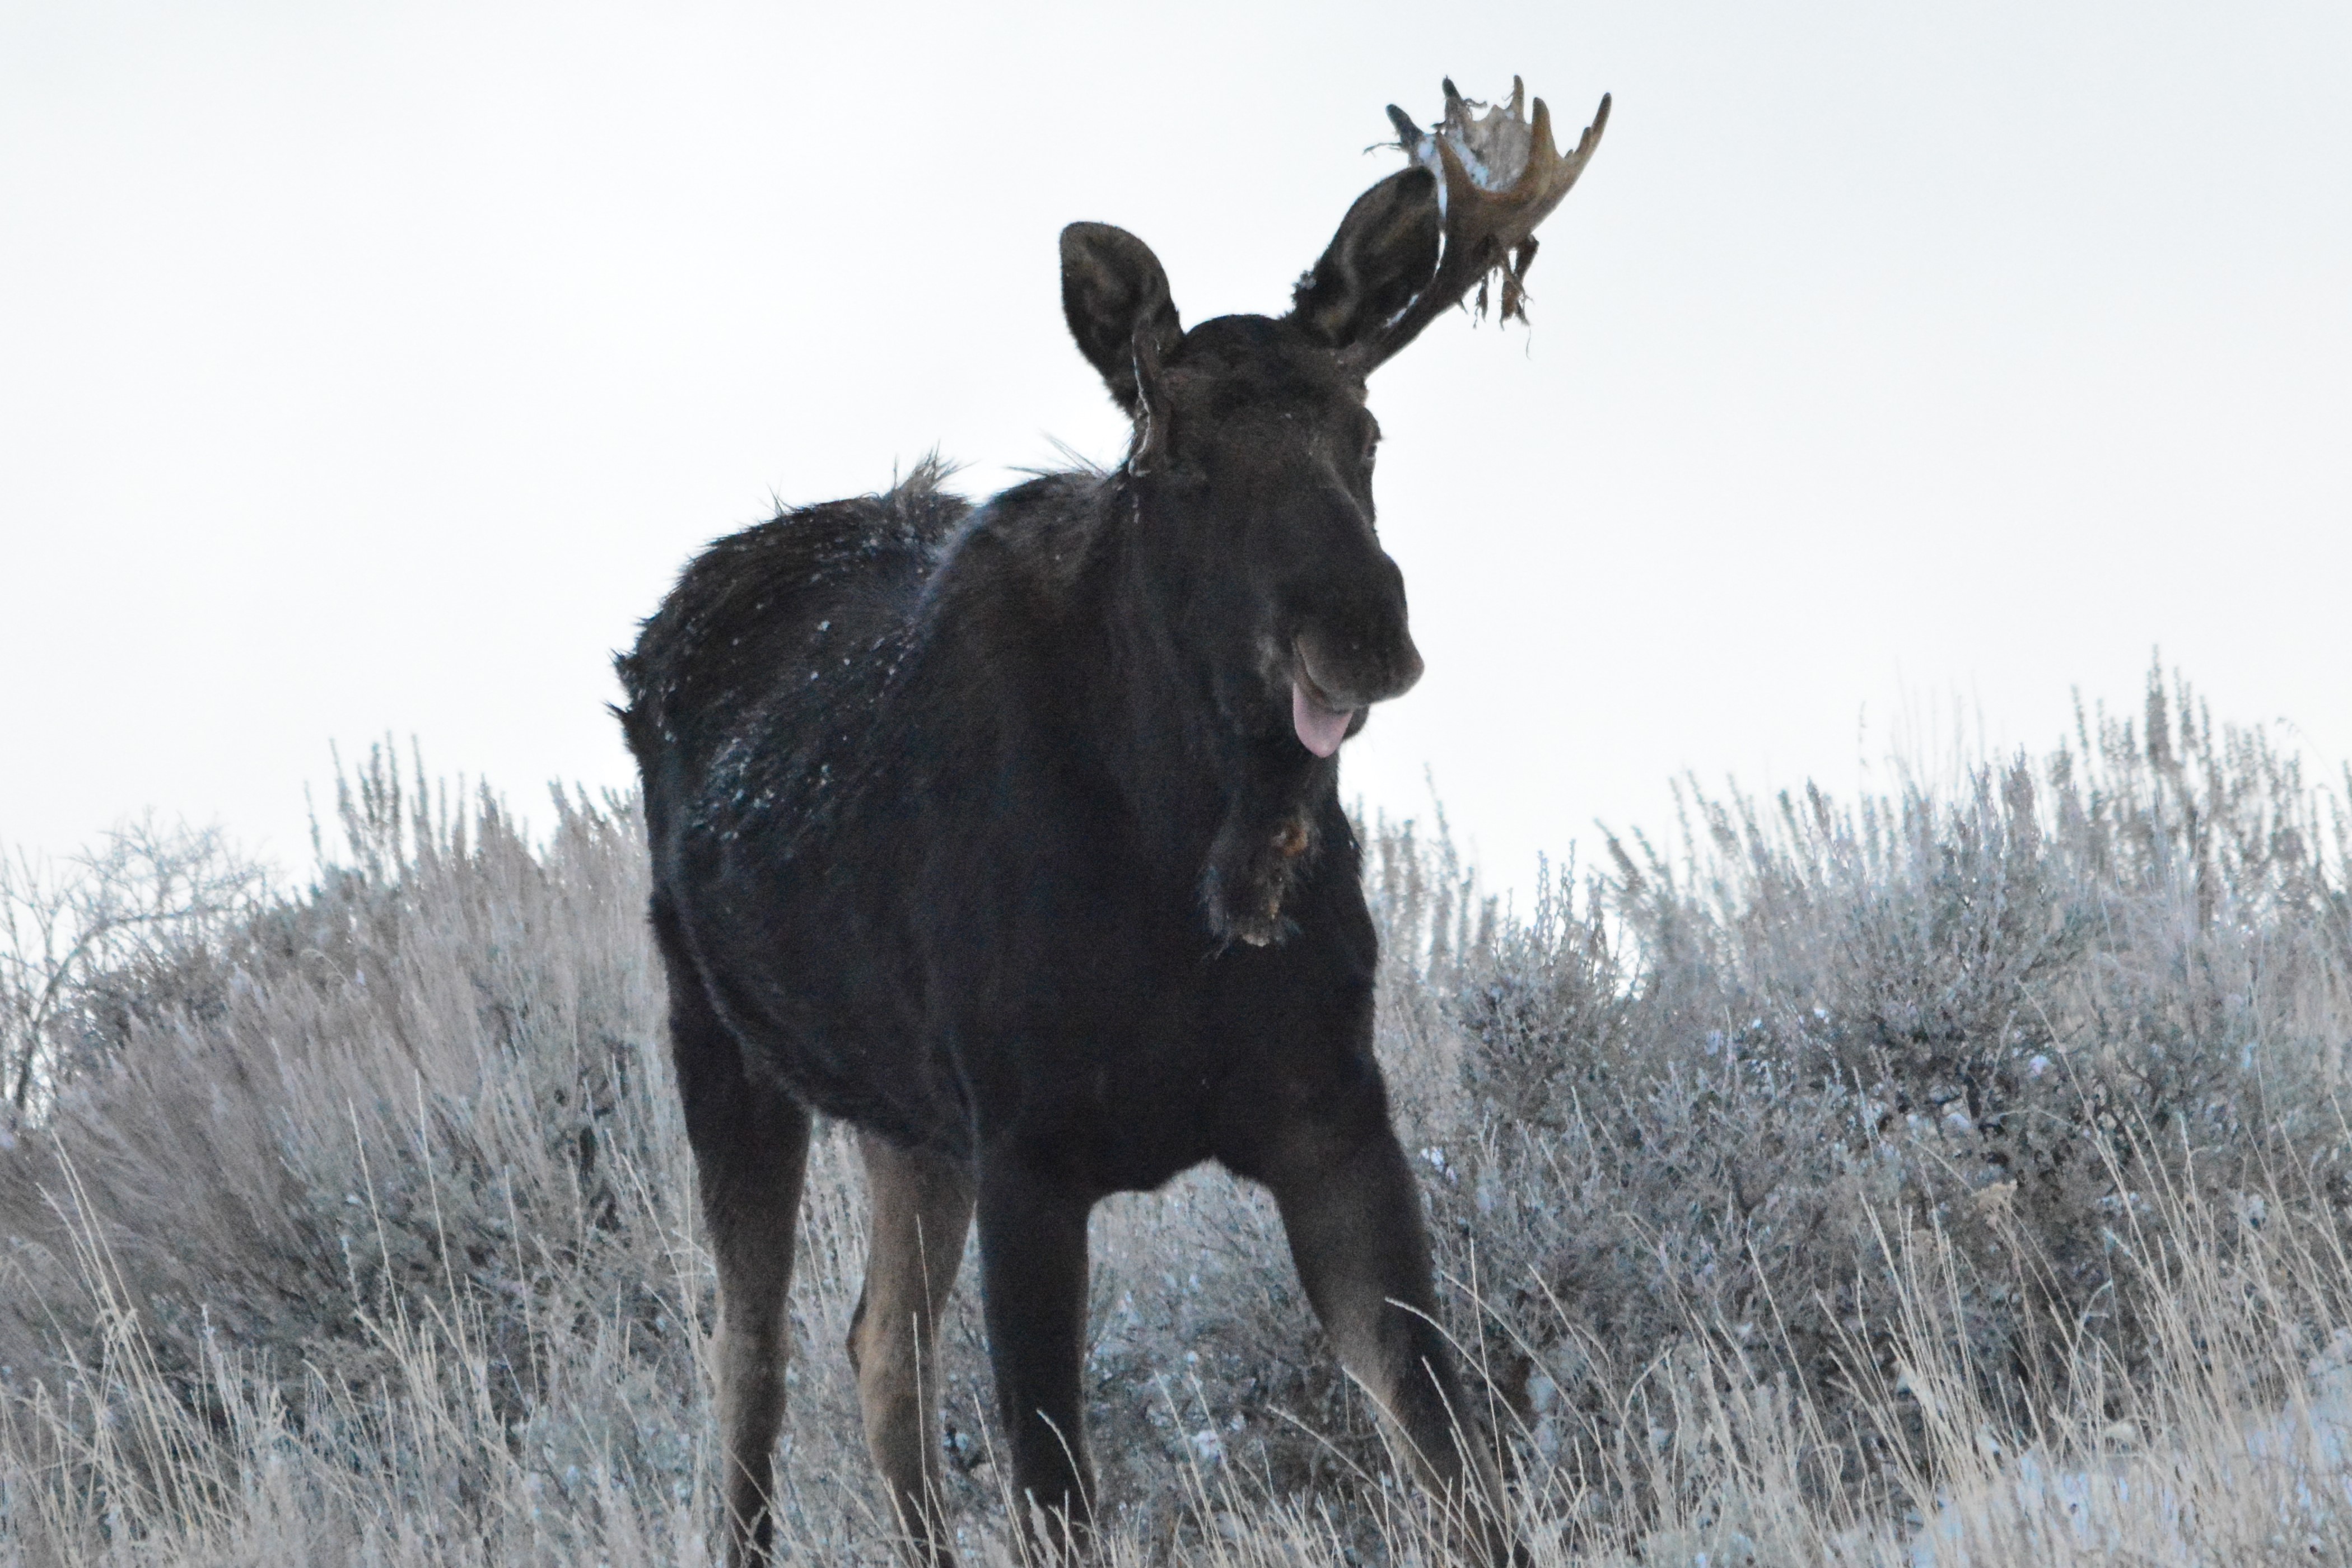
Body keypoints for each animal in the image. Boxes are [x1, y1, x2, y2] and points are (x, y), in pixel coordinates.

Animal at [616, 77, 1608, 1567]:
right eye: (1178, 468)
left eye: (1365, 433)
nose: (1362, 628)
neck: (1197, 875)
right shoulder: (1030, 1148)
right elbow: (1055, 1491)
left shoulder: (1333, 1107)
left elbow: (1451, 1455)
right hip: (724, 1043)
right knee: (751, 1370)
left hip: (906, 1118)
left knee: (880, 1346)